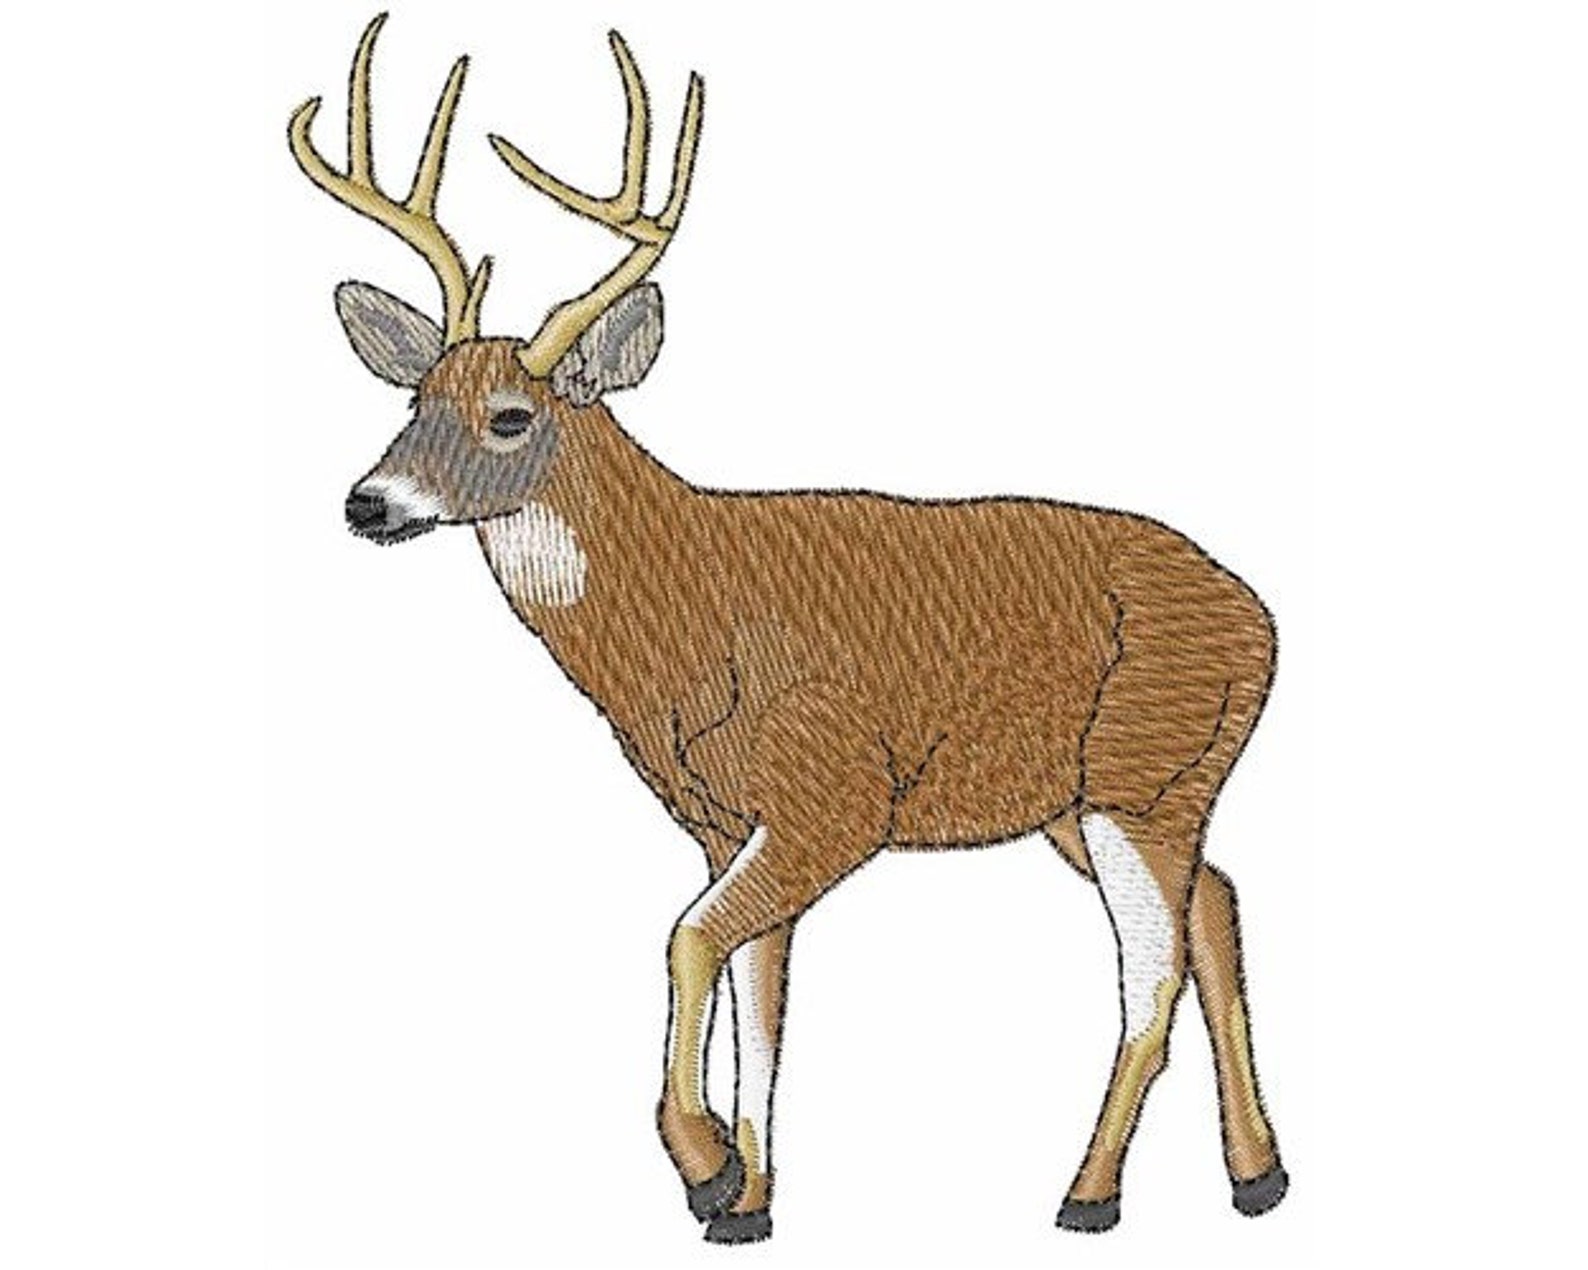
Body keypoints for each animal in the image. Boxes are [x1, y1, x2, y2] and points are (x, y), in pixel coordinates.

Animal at [288, 14, 1289, 1245]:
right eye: (412, 401)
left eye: (510, 416)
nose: (368, 504)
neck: (690, 609)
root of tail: (1262, 619)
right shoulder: (727, 824)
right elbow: (757, 1012)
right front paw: (747, 1199)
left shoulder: (836, 794)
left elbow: (690, 942)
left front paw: (704, 1165)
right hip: (1094, 796)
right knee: (1218, 903)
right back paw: (1255, 1175)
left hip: (1138, 775)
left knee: (1149, 974)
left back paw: (1086, 1194)